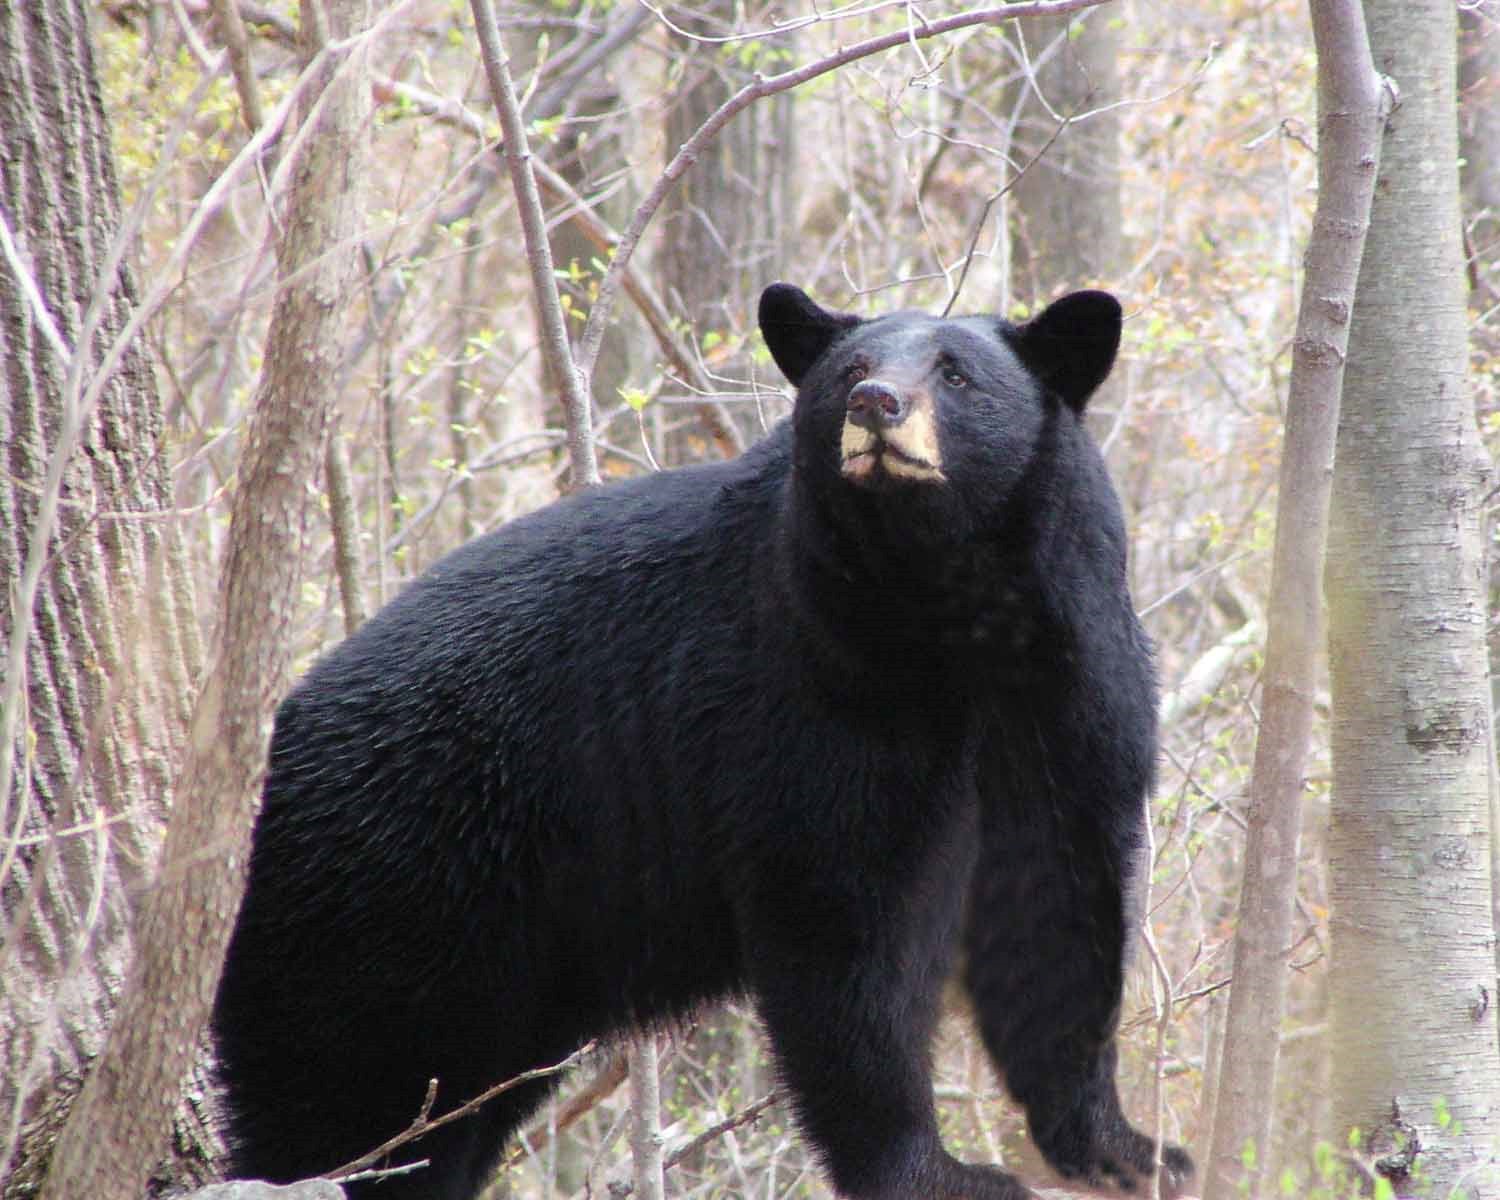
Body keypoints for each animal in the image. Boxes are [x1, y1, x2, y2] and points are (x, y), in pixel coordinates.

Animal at [211, 282, 1194, 1200]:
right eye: (849, 368)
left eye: (955, 373)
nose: (876, 401)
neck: (943, 602)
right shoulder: (813, 700)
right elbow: (845, 932)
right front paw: (936, 1170)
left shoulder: (1077, 691)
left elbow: (1061, 918)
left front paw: (1127, 1148)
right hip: (384, 907)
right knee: (335, 1094)